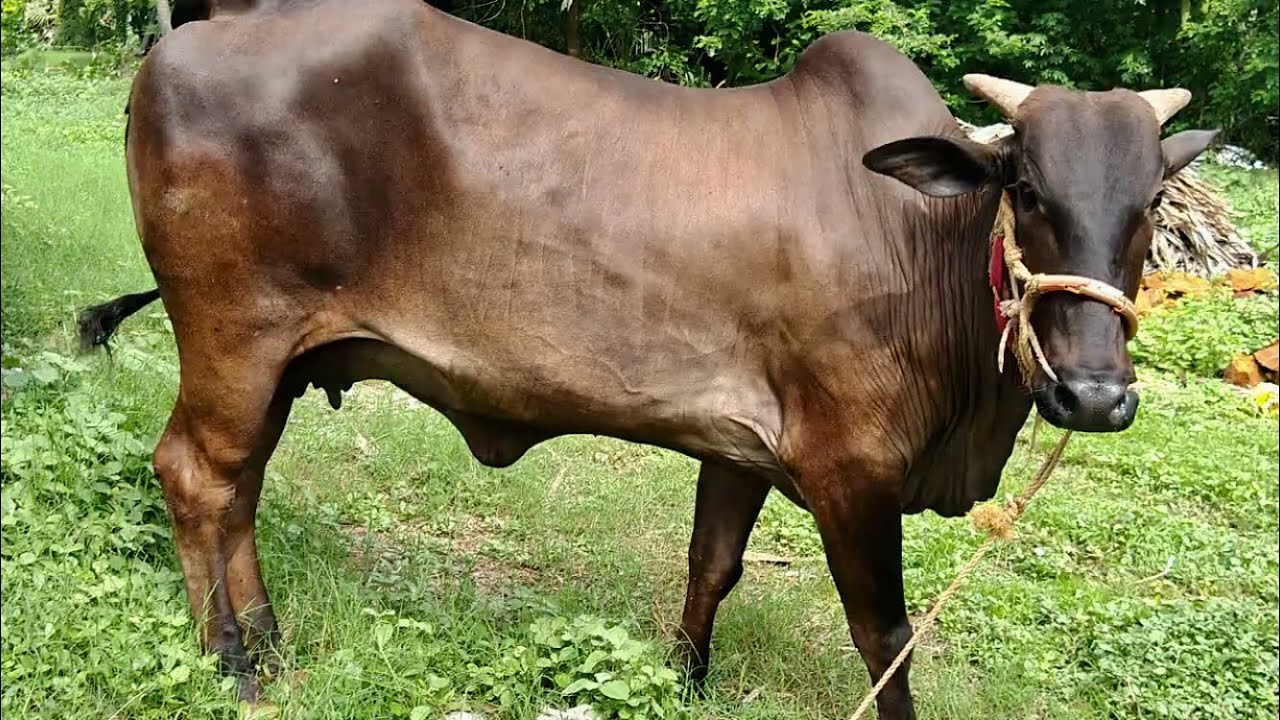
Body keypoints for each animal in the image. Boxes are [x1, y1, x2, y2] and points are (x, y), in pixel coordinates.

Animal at [78, 1, 1216, 717]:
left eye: (1152, 201)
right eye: (1023, 186)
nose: (1095, 396)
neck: (916, 238)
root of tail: (181, 46)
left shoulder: (737, 447)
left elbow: (711, 567)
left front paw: (685, 678)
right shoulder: (851, 471)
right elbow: (884, 636)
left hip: (276, 357)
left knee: (241, 487)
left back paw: (267, 637)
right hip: (234, 334)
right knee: (197, 475)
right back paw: (232, 662)